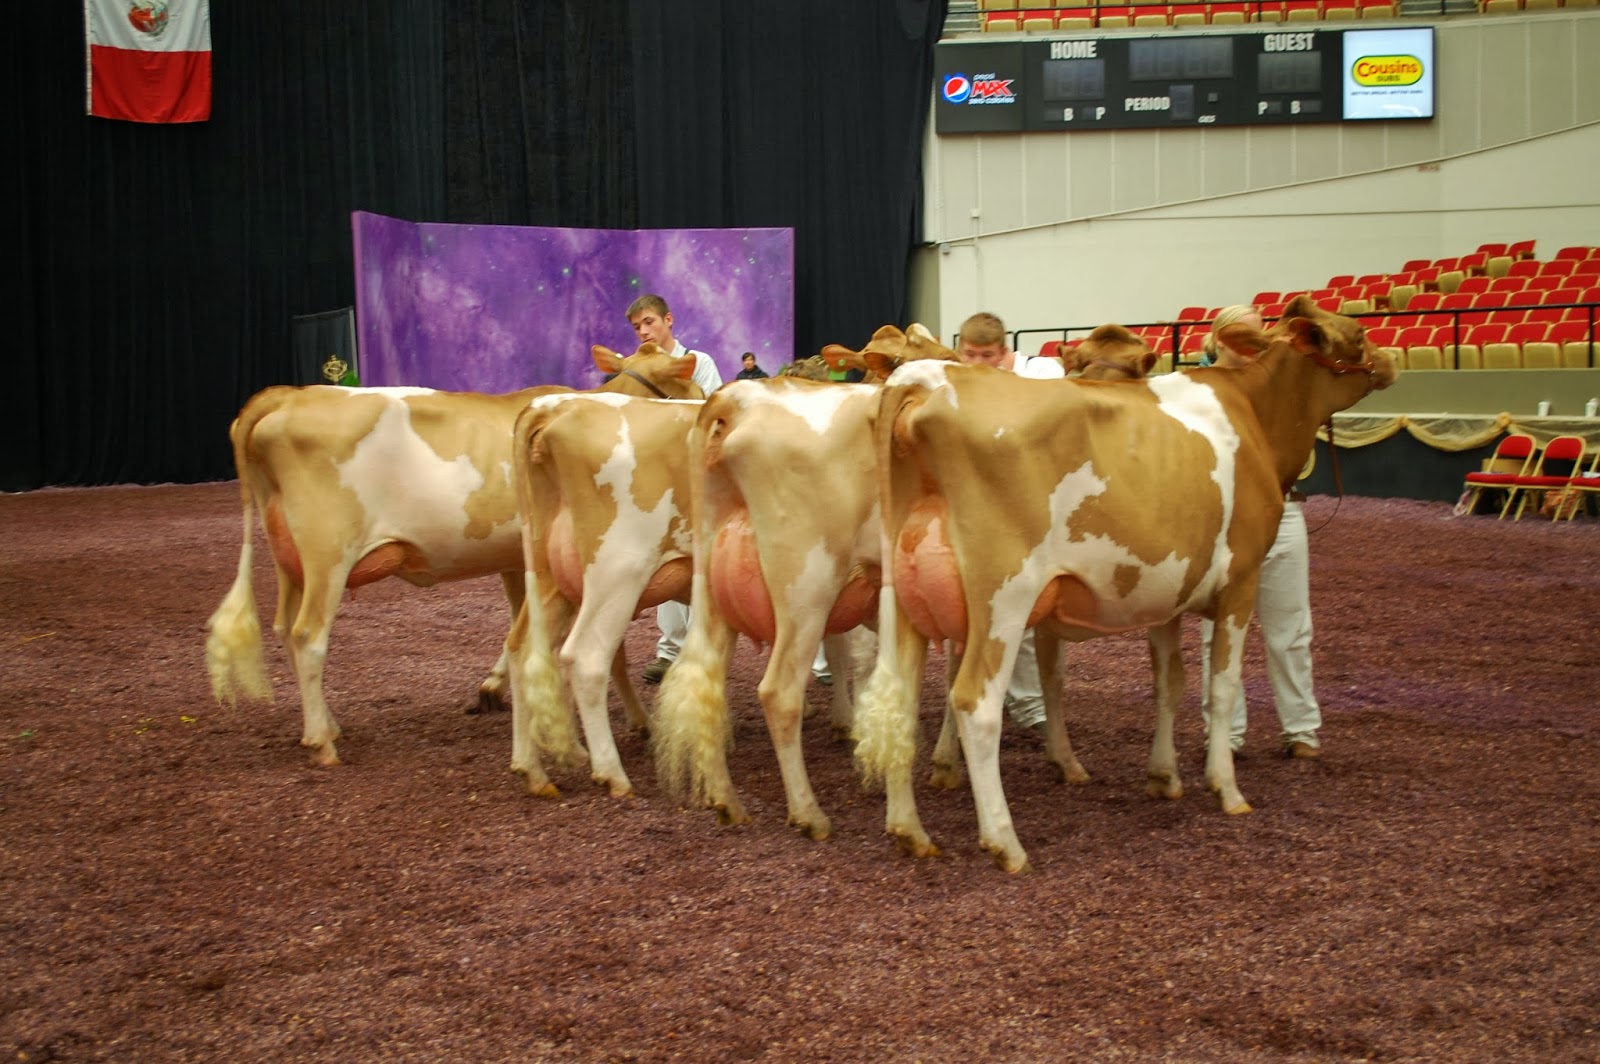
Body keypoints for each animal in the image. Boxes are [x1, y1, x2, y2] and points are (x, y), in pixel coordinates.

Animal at [204, 343, 703, 766]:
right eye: (690, 384)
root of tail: (285, 396)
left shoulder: (518, 561)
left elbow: (528, 630)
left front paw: (500, 690)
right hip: (327, 555)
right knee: (308, 636)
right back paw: (323, 742)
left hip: (291, 563)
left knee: (285, 630)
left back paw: (325, 725)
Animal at [651, 324, 1156, 841]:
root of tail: (739, 398)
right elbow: (1007, 673)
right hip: (807, 583)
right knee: (775, 690)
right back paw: (809, 812)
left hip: (721, 587)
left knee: (706, 678)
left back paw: (726, 796)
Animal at [852, 296, 1398, 872]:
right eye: (1357, 335)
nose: (1389, 362)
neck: (1254, 415)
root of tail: (928, 380)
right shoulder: (1240, 582)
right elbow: (1221, 687)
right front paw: (1226, 789)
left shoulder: (1167, 594)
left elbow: (1170, 683)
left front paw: (1164, 775)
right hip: (1004, 596)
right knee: (975, 701)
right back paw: (1005, 842)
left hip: (904, 600)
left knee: (900, 701)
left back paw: (908, 830)